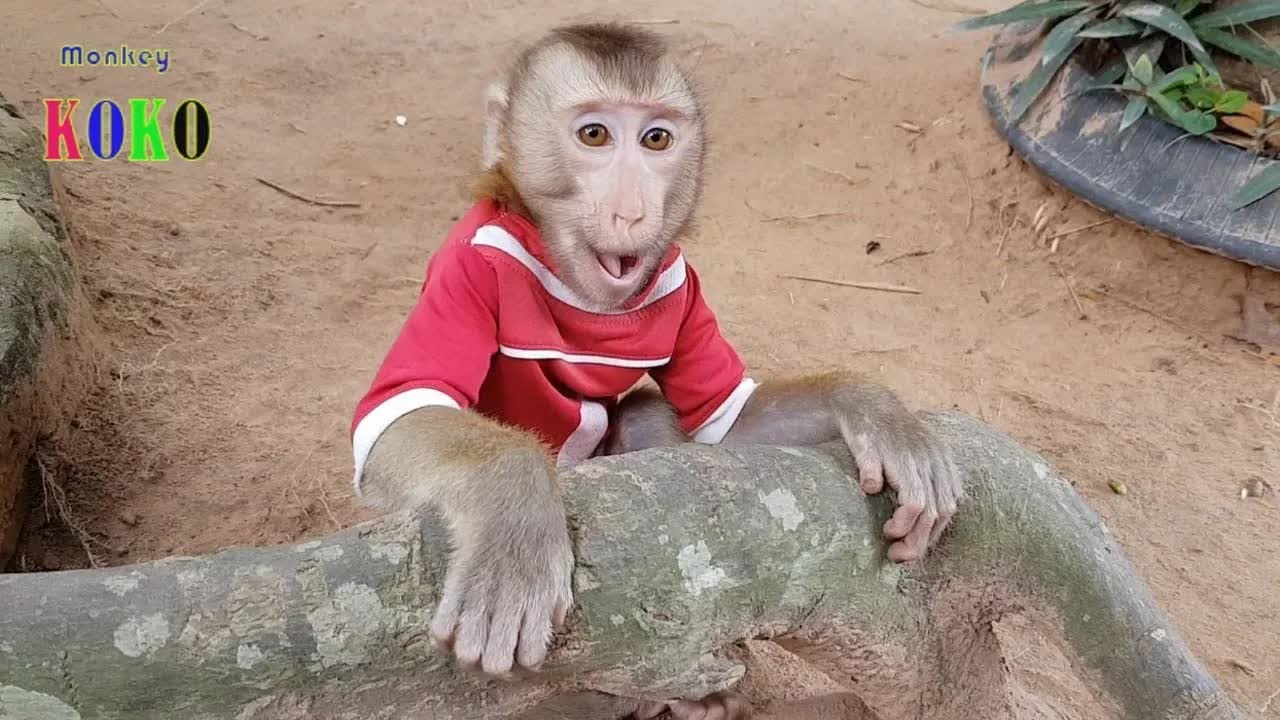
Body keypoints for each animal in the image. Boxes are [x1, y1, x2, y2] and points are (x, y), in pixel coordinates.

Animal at [349, 22, 962, 720]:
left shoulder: (681, 280)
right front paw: (513, 520)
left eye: (656, 140)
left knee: (647, 416)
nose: (632, 212)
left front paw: (877, 411)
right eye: (594, 135)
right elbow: (398, 412)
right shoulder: (467, 264)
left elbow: (728, 420)